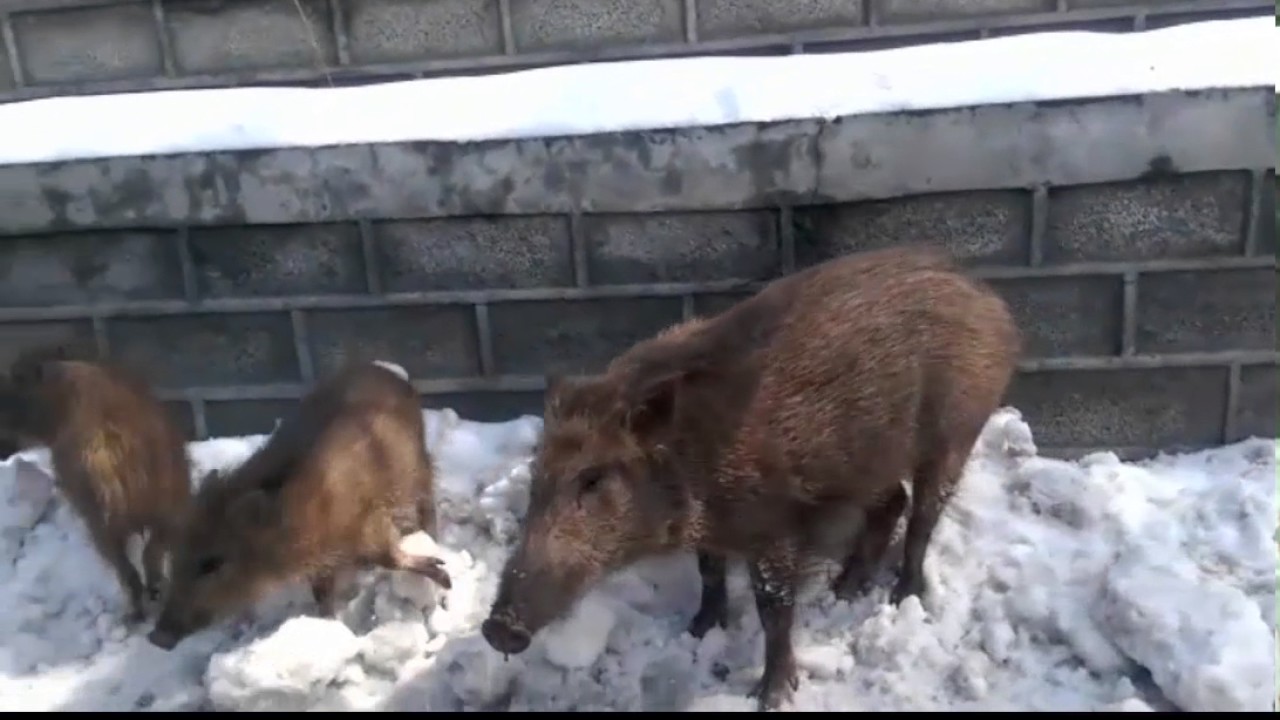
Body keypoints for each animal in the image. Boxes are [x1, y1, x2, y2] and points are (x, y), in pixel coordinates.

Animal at [148, 360, 451, 650]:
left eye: (212, 563)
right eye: (176, 559)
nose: (156, 637)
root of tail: (392, 373)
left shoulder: (369, 522)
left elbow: (391, 557)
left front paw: (442, 574)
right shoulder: (324, 563)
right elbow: (323, 596)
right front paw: (328, 625)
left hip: (418, 471)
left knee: (428, 509)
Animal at [480, 245, 1021, 710]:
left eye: (593, 479)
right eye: (537, 473)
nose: (498, 627)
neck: (693, 456)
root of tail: (990, 298)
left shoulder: (773, 526)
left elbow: (773, 608)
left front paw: (770, 697)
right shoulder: (717, 530)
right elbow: (709, 571)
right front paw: (698, 630)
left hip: (957, 431)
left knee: (924, 513)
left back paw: (902, 594)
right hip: (867, 461)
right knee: (892, 501)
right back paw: (844, 589)